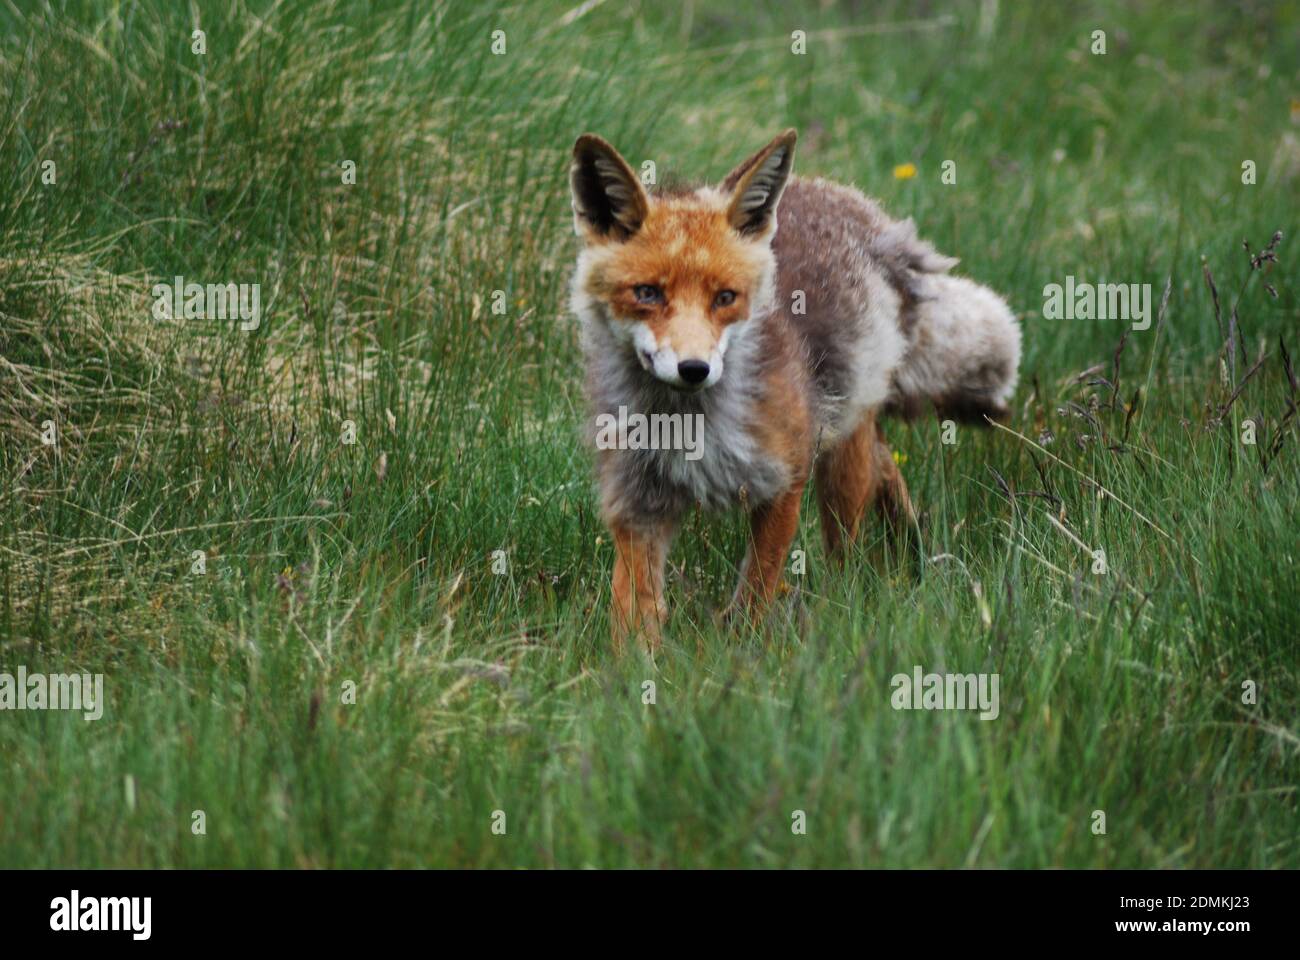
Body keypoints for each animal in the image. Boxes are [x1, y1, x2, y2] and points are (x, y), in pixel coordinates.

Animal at [568, 129, 1021, 650]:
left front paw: (737, 657)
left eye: (725, 298)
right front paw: (635, 667)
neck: (692, 426)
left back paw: (854, 599)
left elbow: (755, 592)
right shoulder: (636, 499)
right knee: (887, 467)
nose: (694, 369)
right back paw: (913, 550)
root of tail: (846, 199)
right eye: (647, 294)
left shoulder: (784, 480)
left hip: (841, 460)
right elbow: (634, 611)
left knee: (847, 548)